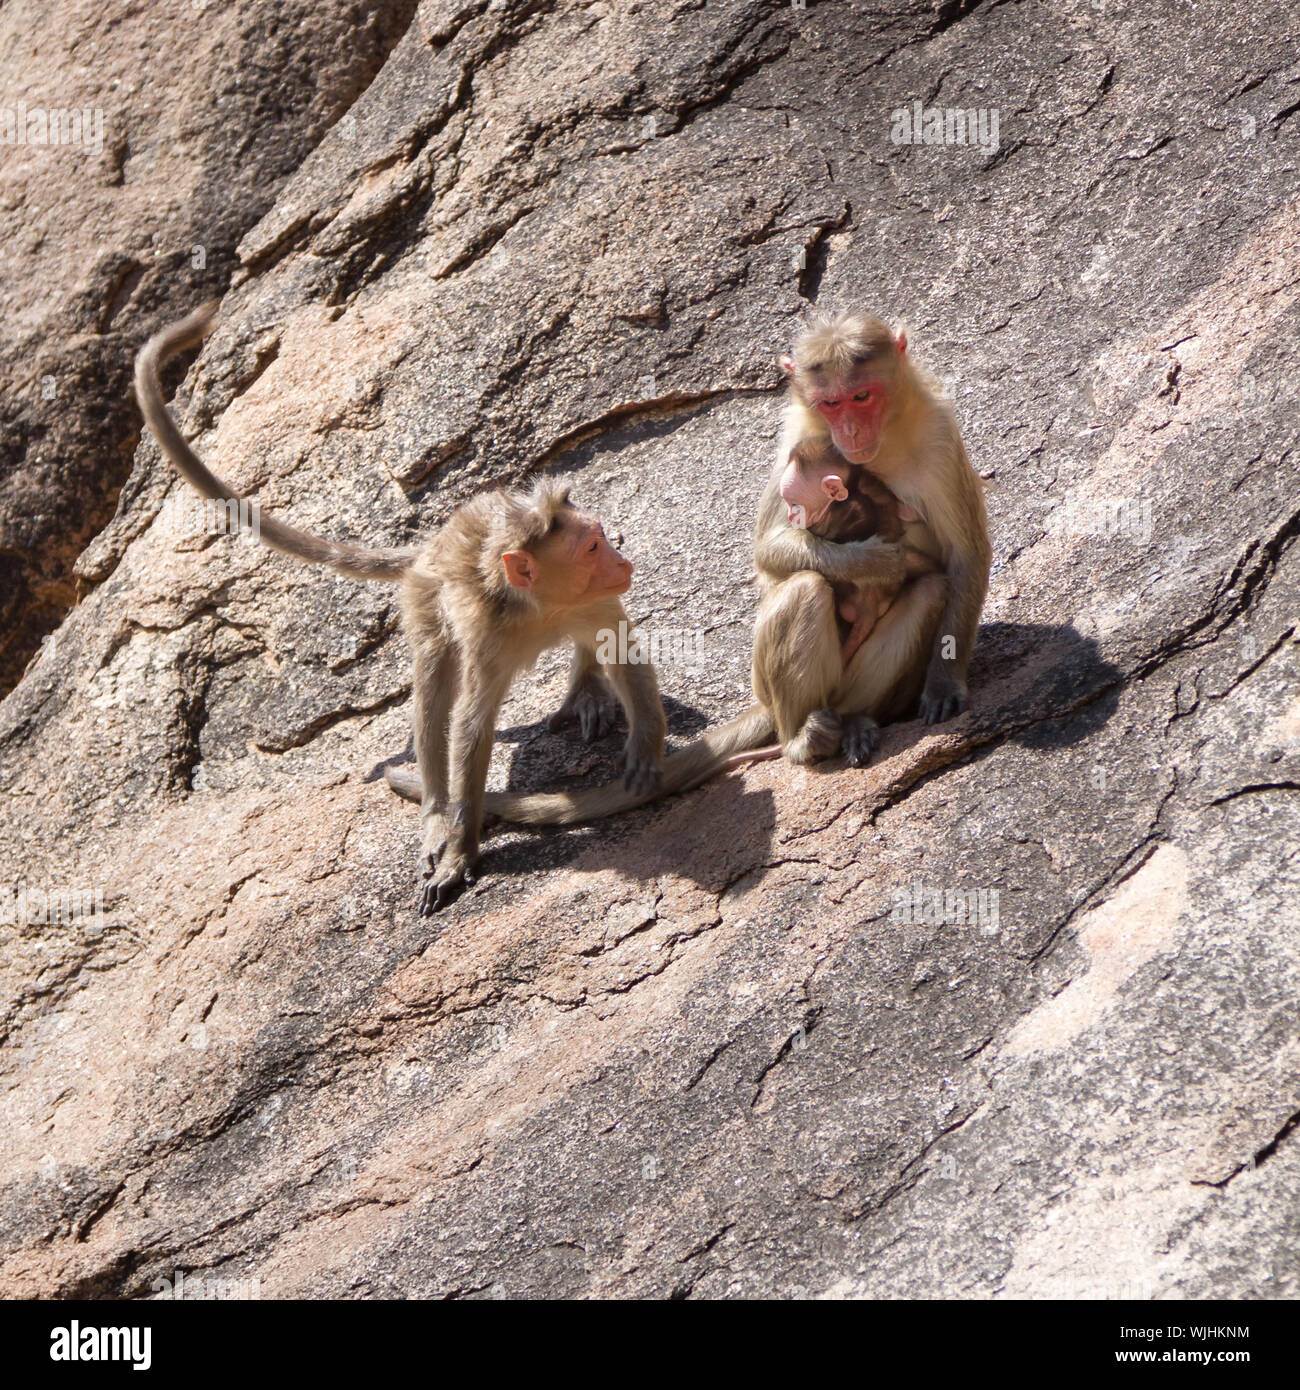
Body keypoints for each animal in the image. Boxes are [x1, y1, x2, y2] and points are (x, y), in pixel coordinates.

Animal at [135, 302, 666, 913]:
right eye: (593, 548)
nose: (622, 560)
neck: (542, 606)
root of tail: (429, 546)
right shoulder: (491, 632)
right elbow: (470, 726)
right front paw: (461, 848)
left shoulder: (590, 601)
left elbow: (622, 651)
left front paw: (646, 747)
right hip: (423, 598)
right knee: (435, 683)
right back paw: (436, 812)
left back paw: (586, 690)